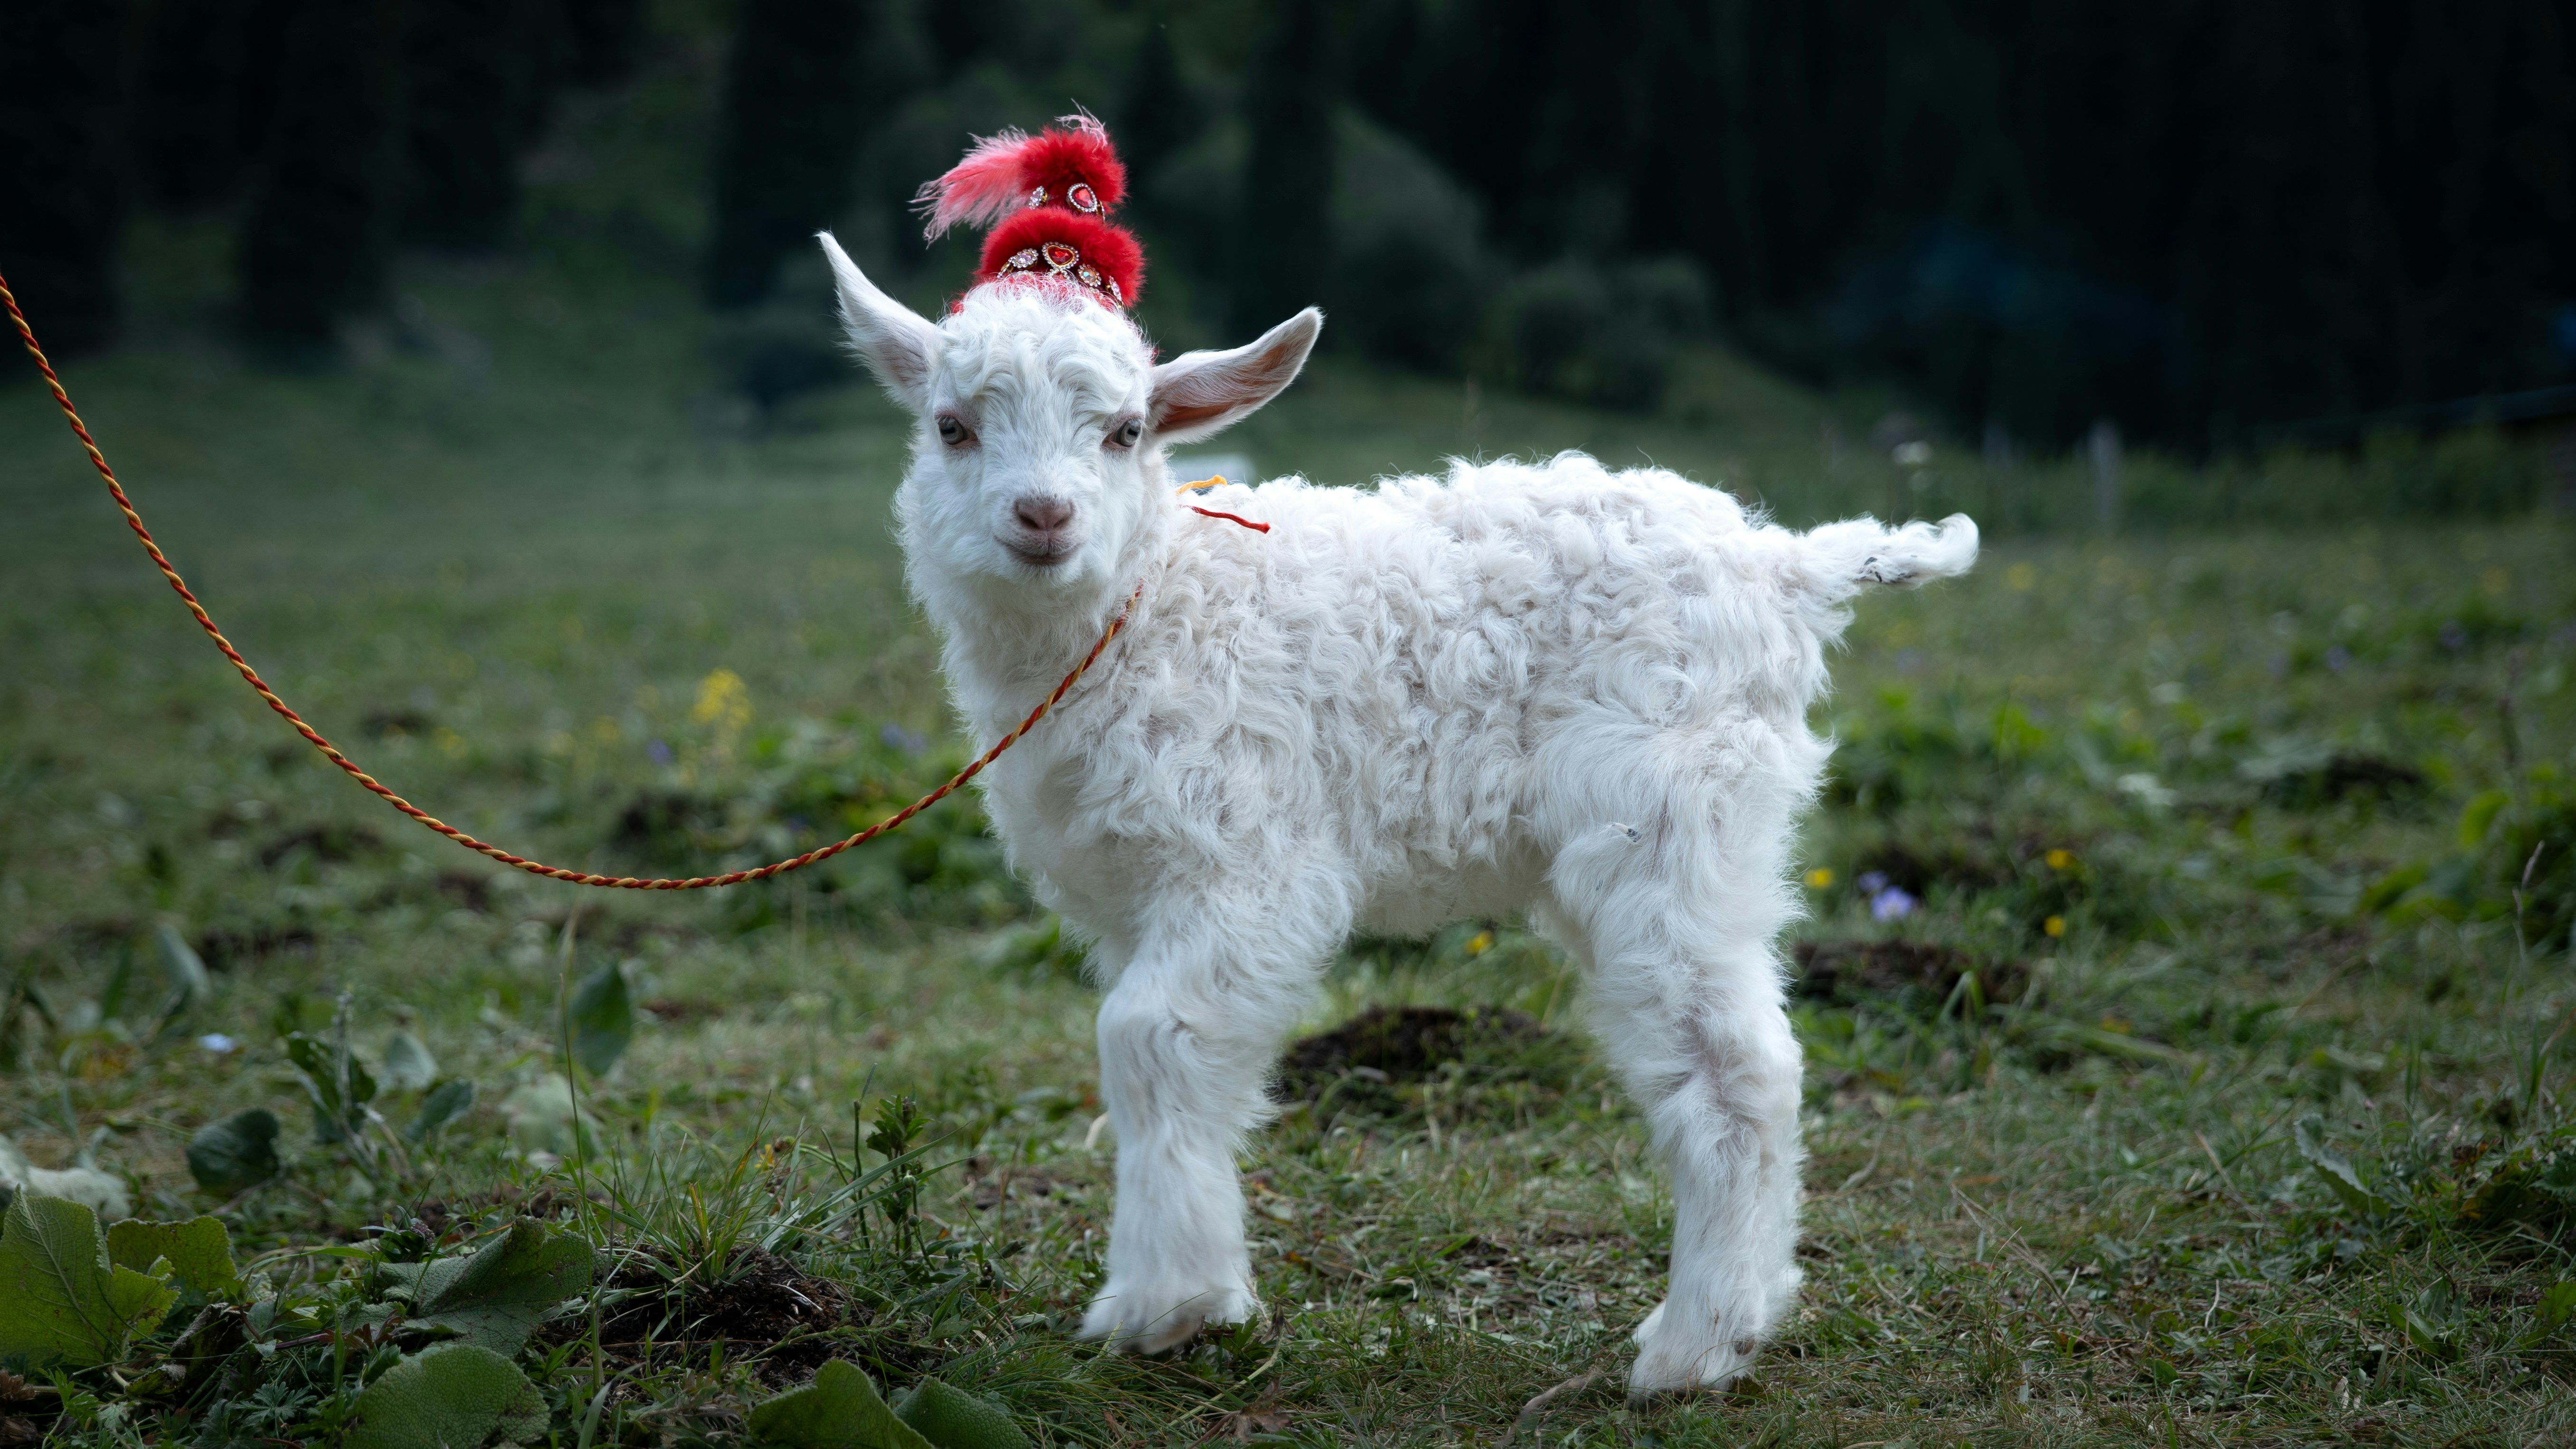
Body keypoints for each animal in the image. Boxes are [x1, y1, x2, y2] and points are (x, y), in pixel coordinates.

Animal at [818, 230, 1977, 1396]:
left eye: (1124, 431)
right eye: (951, 426)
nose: (1043, 517)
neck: (1153, 602)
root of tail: (1787, 566)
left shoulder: (1246, 857)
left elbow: (1153, 1037)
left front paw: (1164, 1308)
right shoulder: (1130, 889)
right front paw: (1198, 1294)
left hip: (1670, 818)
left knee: (1735, 1060)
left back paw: (1695, 1344)